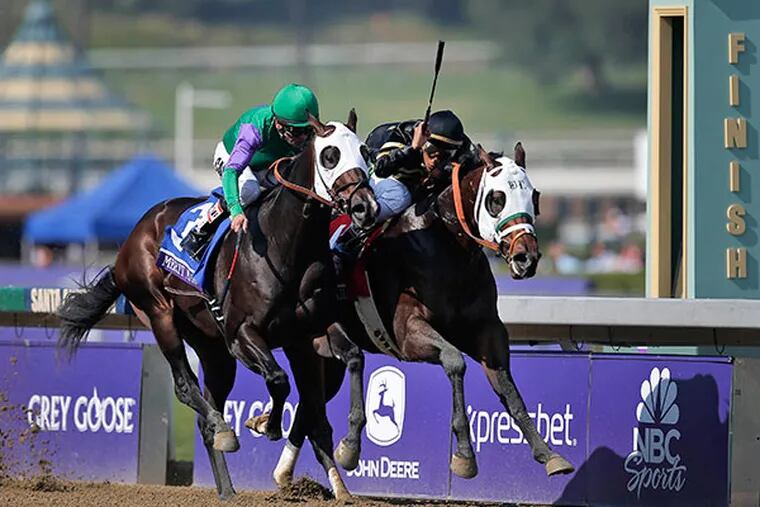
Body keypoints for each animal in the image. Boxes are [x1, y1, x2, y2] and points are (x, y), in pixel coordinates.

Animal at [55, 110, 378, 500]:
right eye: (330, 155)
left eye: (364, 151)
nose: (365, 207)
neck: (286, 246)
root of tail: (131, 239)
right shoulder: (242, 335)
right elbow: (278, 380)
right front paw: (264, 424)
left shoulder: (311, 332)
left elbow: (350, 363)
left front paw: (349, 450)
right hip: (159, 313)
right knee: (187, 387)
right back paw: (224, 430)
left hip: (212, 348)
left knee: (208, 406)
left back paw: (227, 487)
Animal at [271, 143, 574, 489]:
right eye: (497, 198)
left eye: (534, 195)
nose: (527, 257)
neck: (445, 244)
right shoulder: (407, 333)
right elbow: (455, 362)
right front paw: (464, 455)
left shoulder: (487, 330)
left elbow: (509, 391)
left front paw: (549, 454)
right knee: (333, 380)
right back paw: (343, 448)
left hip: (322, 357)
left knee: (311, 404)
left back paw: (284, 470)